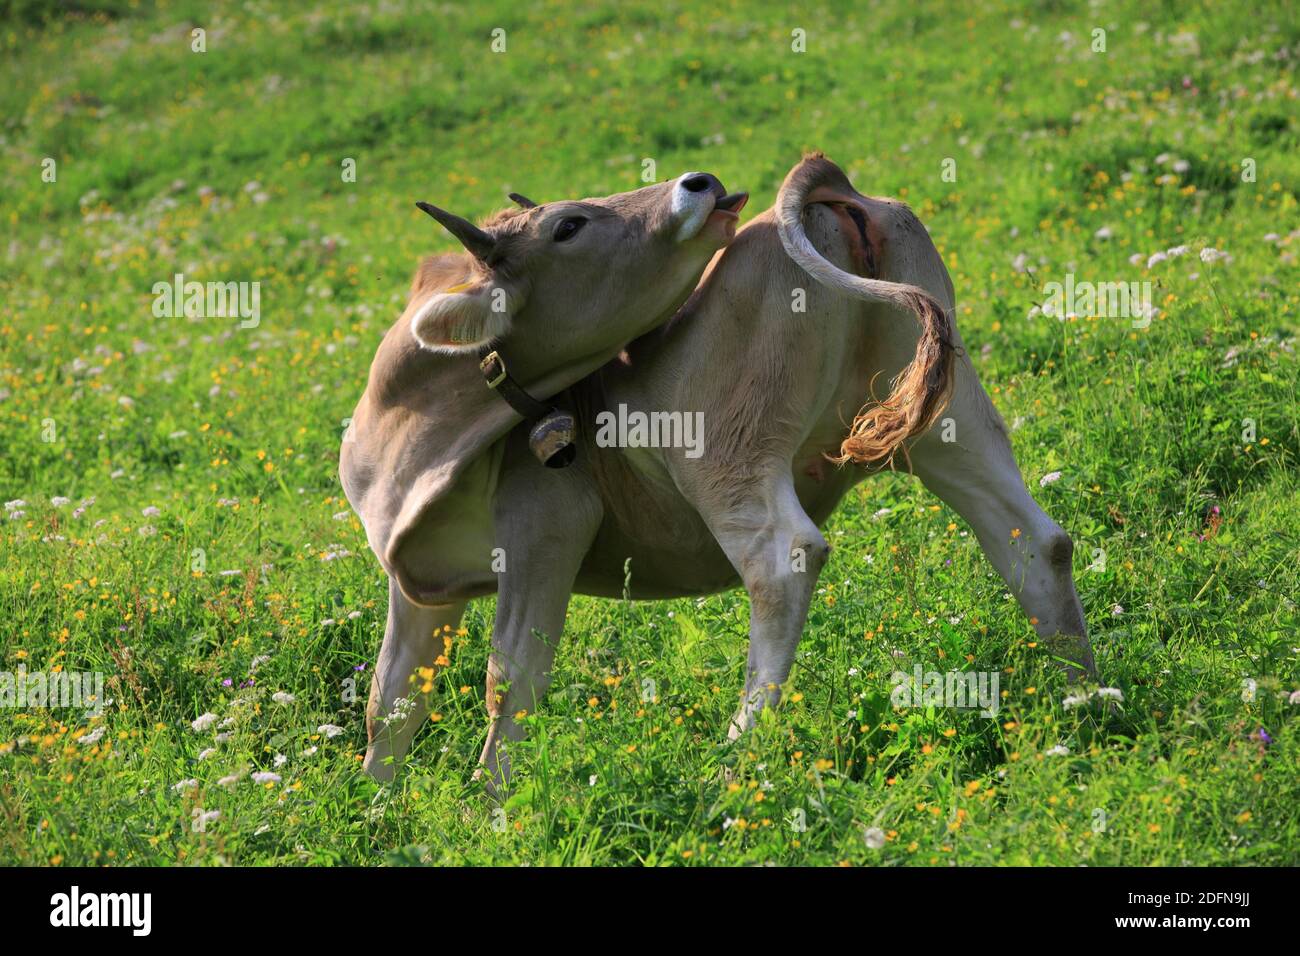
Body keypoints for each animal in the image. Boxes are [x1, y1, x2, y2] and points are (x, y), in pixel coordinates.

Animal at [339, 172, 749, 780]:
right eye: (568, 226)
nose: (703, 181)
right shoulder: (415, 573)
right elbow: (390, 699)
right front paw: (372, 796)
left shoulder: (548, 526)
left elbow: (510, 682)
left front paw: (491, 799)